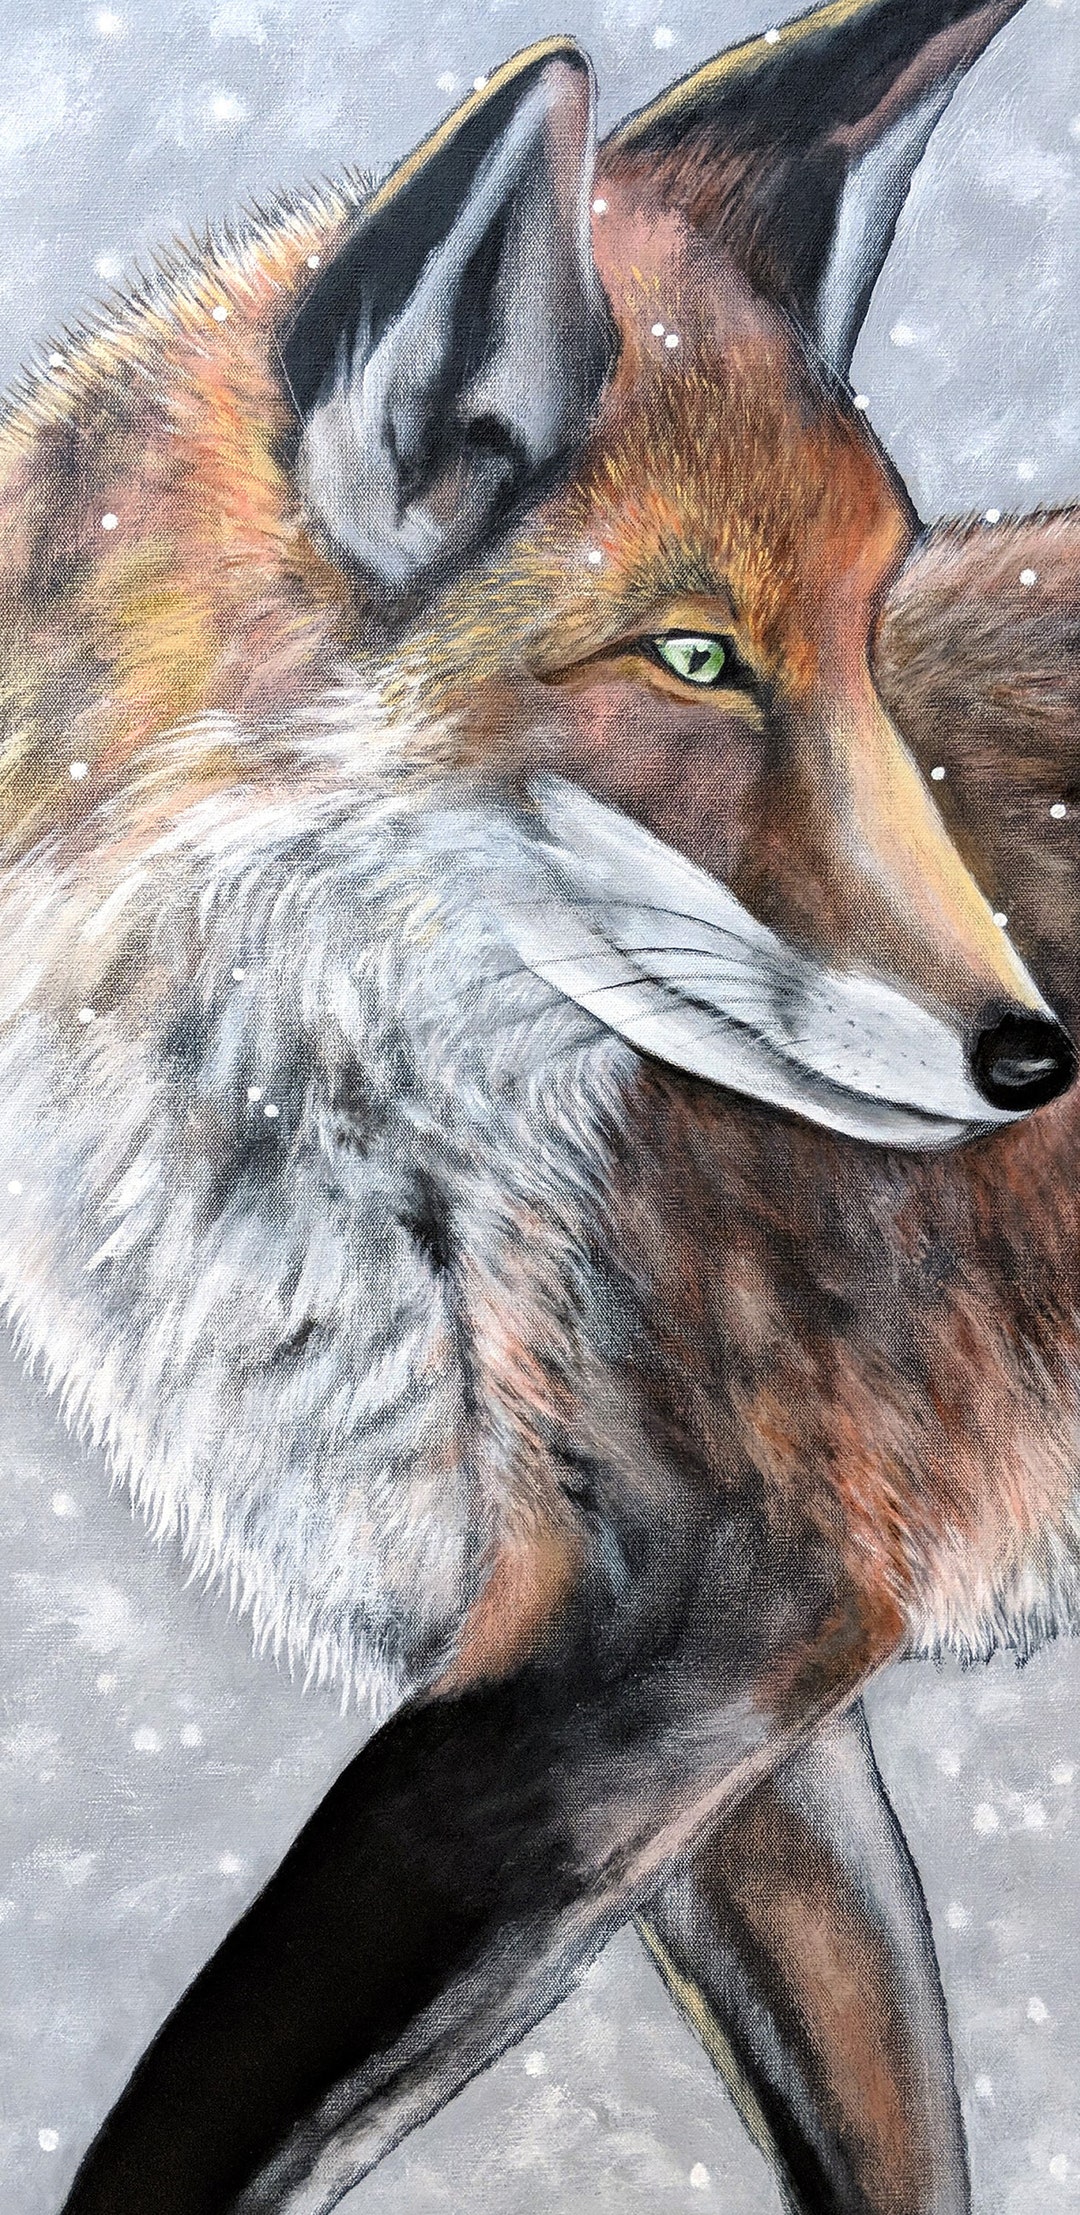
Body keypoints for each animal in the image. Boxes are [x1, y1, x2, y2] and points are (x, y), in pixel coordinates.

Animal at [1, 0, 1077, 2209]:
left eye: (864, 645)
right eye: (695, 658)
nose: (1036, 1057)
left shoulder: (697, 1621)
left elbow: (184, 2127)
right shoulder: (749, 1727)